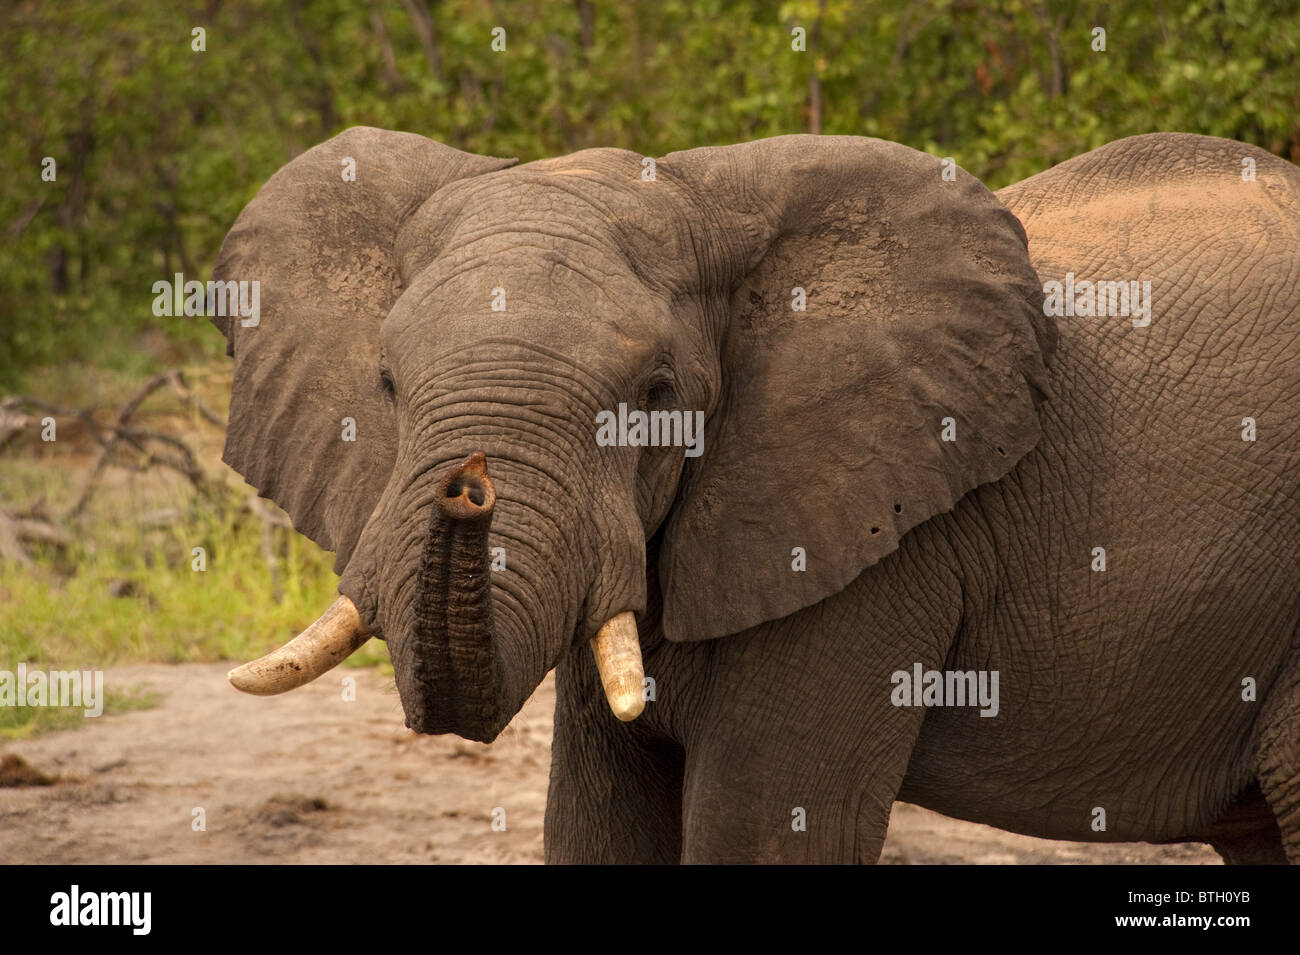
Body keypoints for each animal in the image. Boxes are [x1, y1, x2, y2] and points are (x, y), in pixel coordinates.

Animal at [211, 127, 1300, 864]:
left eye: (655, 394)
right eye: (387, 384)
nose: (467, 483)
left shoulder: (879, 549)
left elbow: (765, 827)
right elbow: (597, 827)